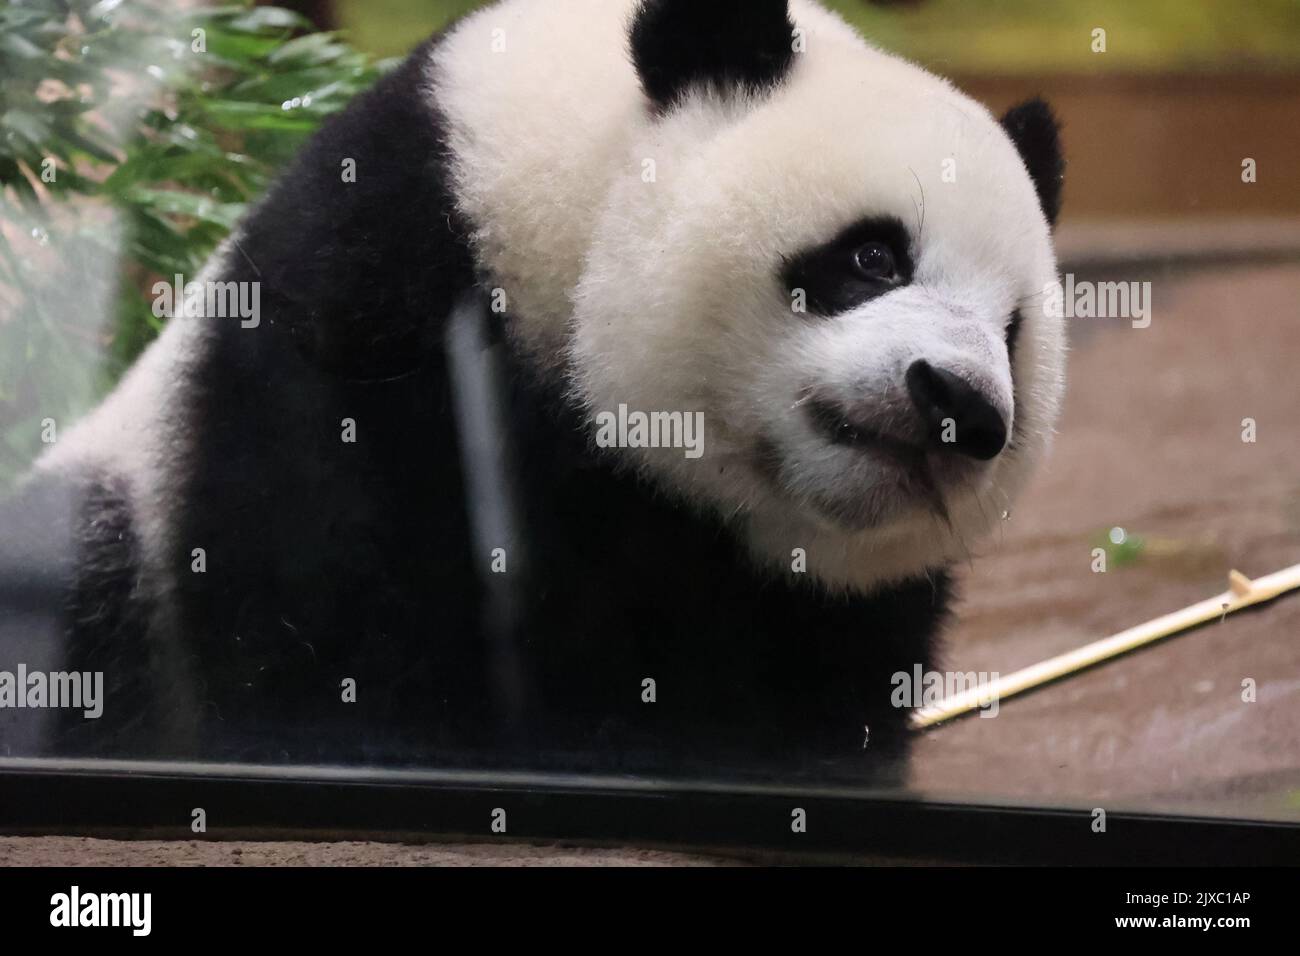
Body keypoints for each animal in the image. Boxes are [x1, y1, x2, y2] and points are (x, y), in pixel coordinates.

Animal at [5, 0, 1065, 778]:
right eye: (873, 256)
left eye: (1013, 333)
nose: (960, 406)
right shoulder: (385, 275)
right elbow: (326, 578)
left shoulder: (827, 602)